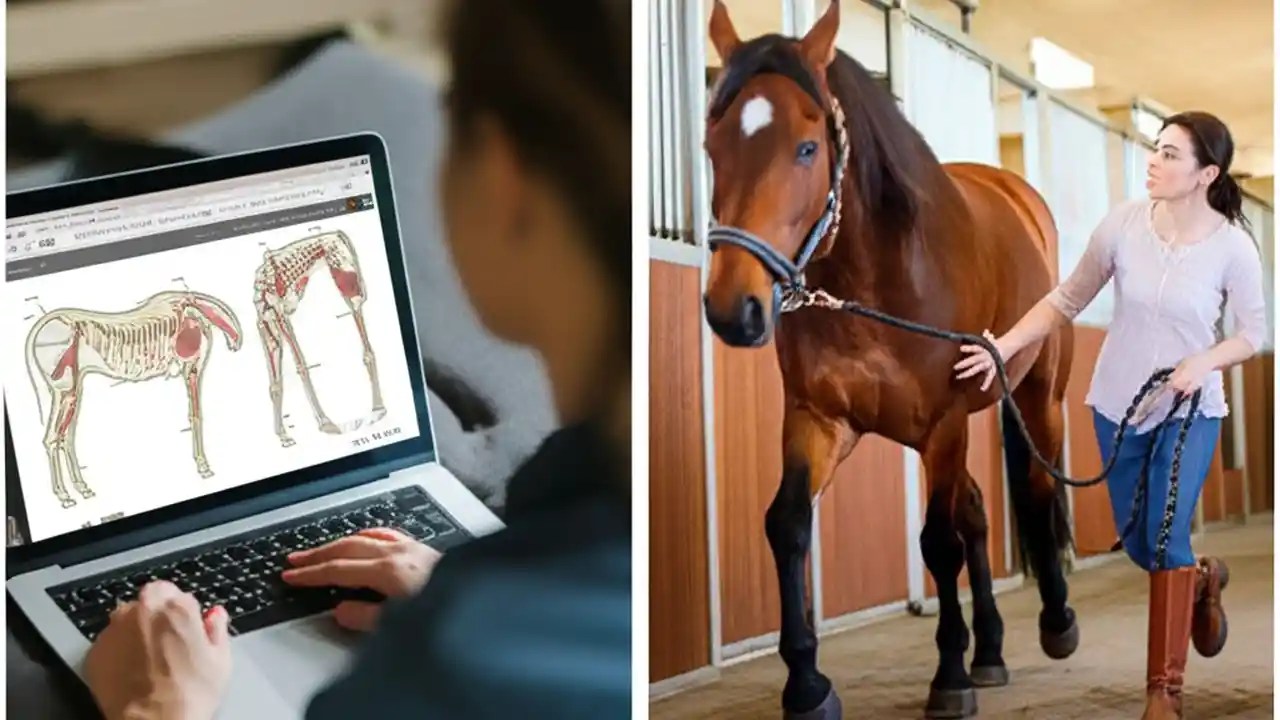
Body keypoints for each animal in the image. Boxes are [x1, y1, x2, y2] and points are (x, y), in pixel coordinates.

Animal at [700, 2, 1078, 718]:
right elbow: (787, 525)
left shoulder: (946, 422)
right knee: (977, 509)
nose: (734, 309)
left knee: (1036, 494)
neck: (876, 278)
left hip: (1037, 397)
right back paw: (990, 650)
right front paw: (807, 683)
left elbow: (937, 541)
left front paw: (949, 677)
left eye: (807, 148)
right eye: (712, 149)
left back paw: (1055, 623)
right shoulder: (819, 420)